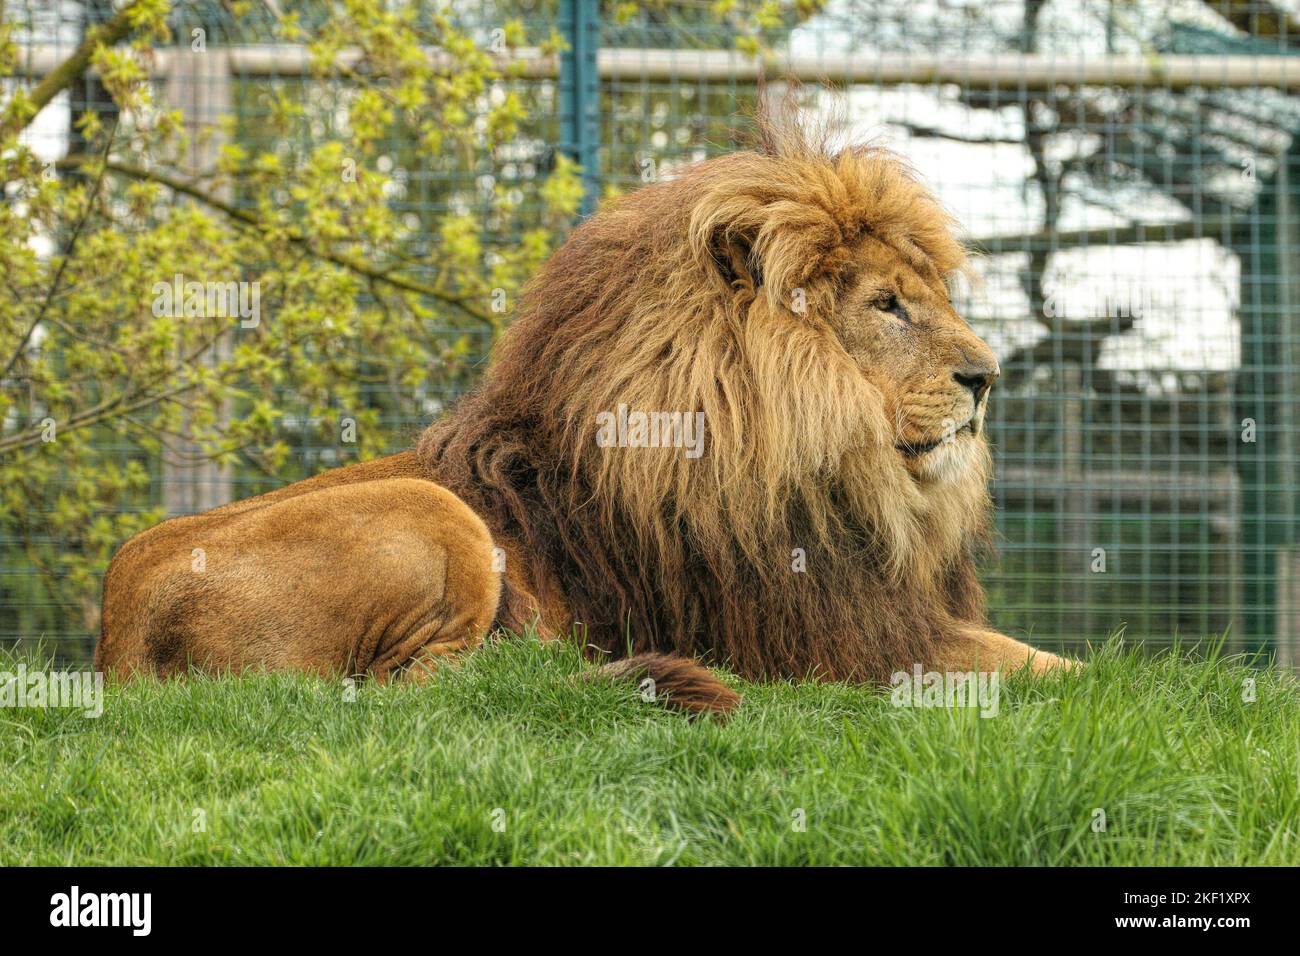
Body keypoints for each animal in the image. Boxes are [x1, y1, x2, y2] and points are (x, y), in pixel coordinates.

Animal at [95, 113, 1076, 715]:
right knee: (429, 693)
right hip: (434, 514)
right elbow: (1064, 670)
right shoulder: (843, 645)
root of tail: (115, 638)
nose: (986, 377)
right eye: (885, 305)